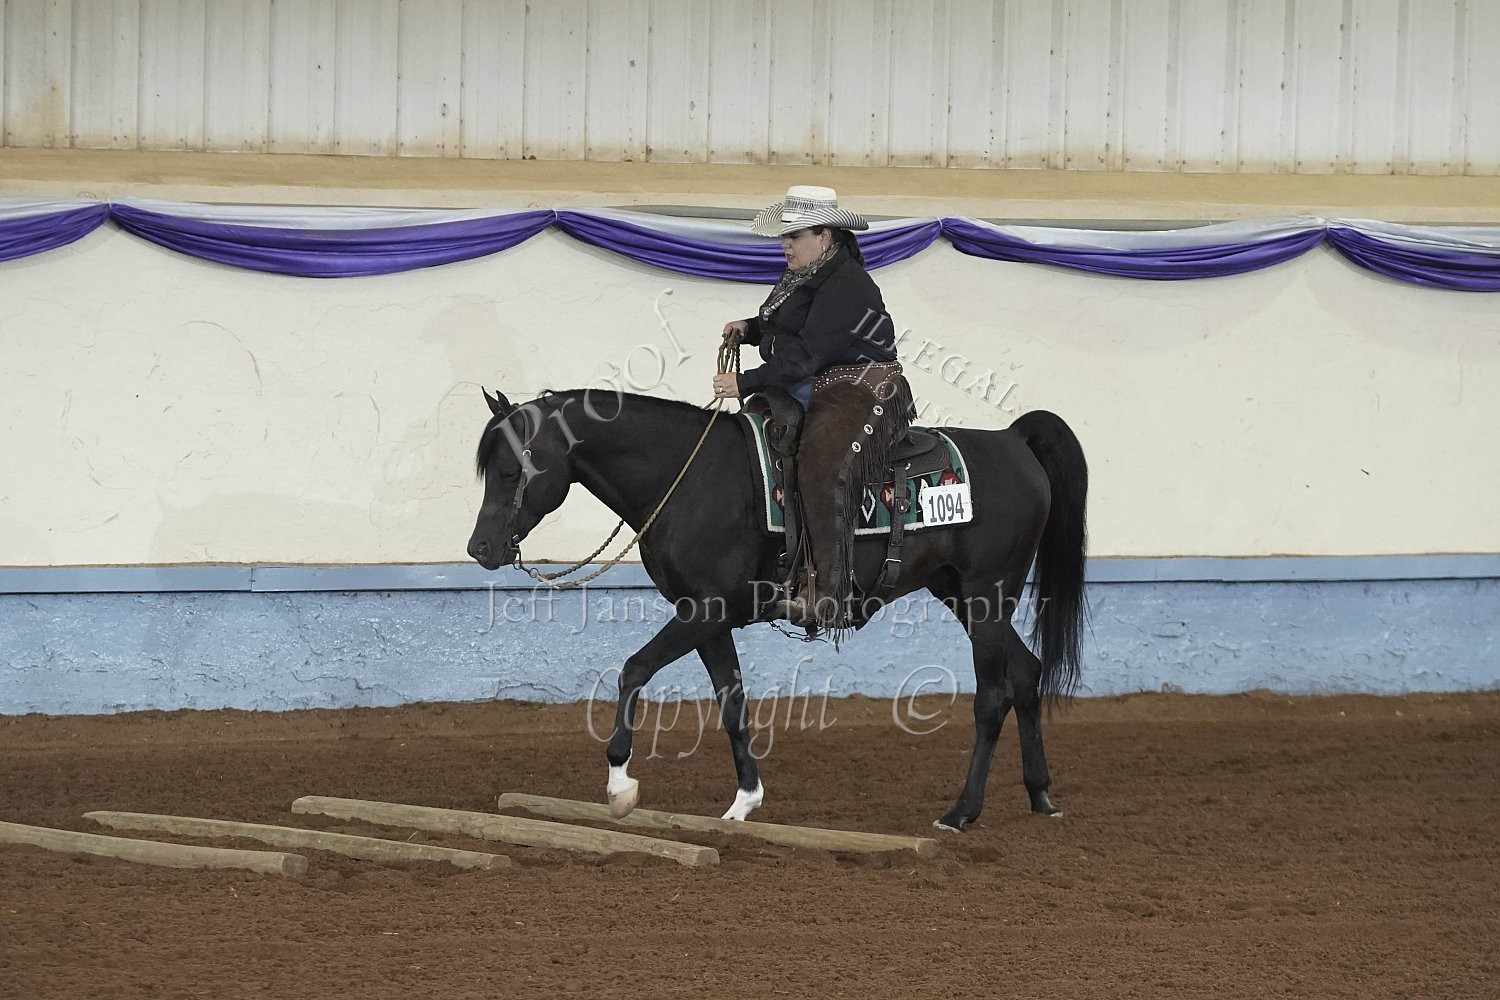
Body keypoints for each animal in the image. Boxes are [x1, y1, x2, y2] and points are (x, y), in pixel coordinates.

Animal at [467, 386, 1087, 832]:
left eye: (510, 470)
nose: (480, 548)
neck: (688, 478)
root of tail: (1011, 439)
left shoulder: (705, 611)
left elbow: (633, 670)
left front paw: (621, 785)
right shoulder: (707, 618)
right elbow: (731, 702)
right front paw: (744, 801)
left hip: (988, 595)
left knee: (992, 696)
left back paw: (961, 812)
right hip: (961, 594)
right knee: (1027, 674)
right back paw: (1041, 795)